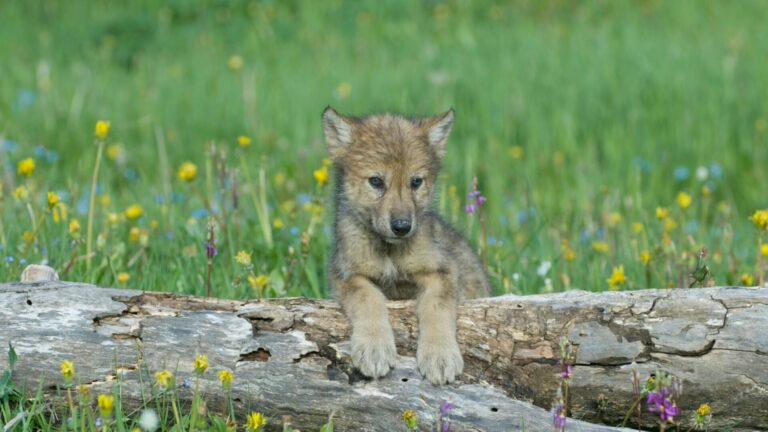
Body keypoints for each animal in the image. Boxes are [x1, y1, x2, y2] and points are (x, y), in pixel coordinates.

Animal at [322, 107, 490, 385]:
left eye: (416, 182)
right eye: (376, 181)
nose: (402, 226)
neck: (390, 253)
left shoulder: (442, 270)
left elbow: (436, 307)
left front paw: (440, 356)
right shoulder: (347, 274)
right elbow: (367, 297)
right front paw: (374, 348)